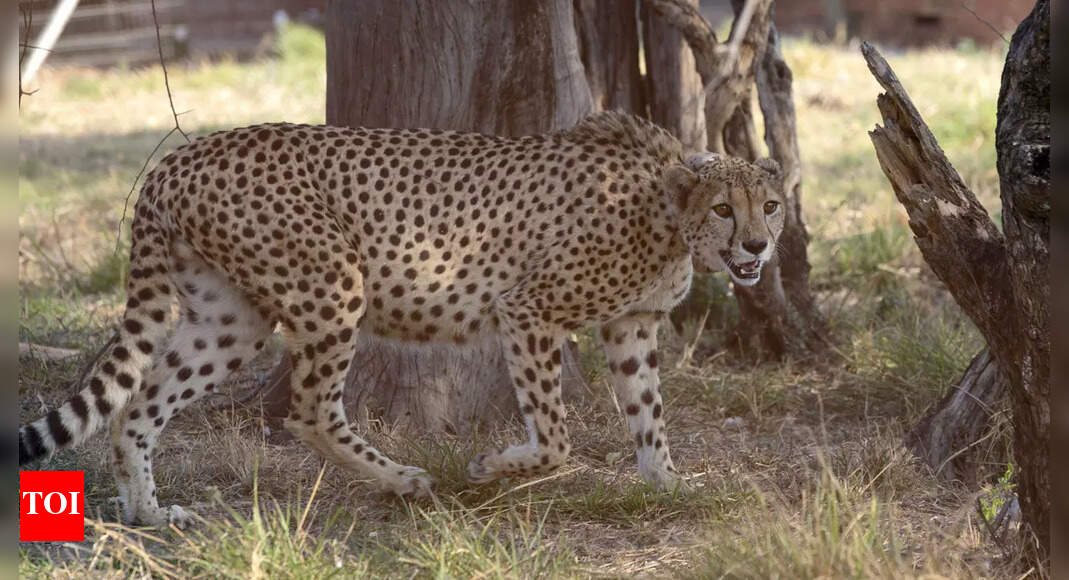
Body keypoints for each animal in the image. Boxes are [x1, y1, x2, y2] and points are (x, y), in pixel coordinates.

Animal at [18, 111, 785, 528]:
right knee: (308, 409)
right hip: (334, 285)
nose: (757, 246)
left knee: (137, 406)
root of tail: (182, 154)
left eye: (770, 206)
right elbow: (557, 439)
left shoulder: (632, 325)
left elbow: (648, 415)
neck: (667, 211)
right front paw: (491, 466)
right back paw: (404, 480)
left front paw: (668, 485)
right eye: (725, 208)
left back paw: (148, 513)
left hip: (230, 317)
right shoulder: (527, 308)